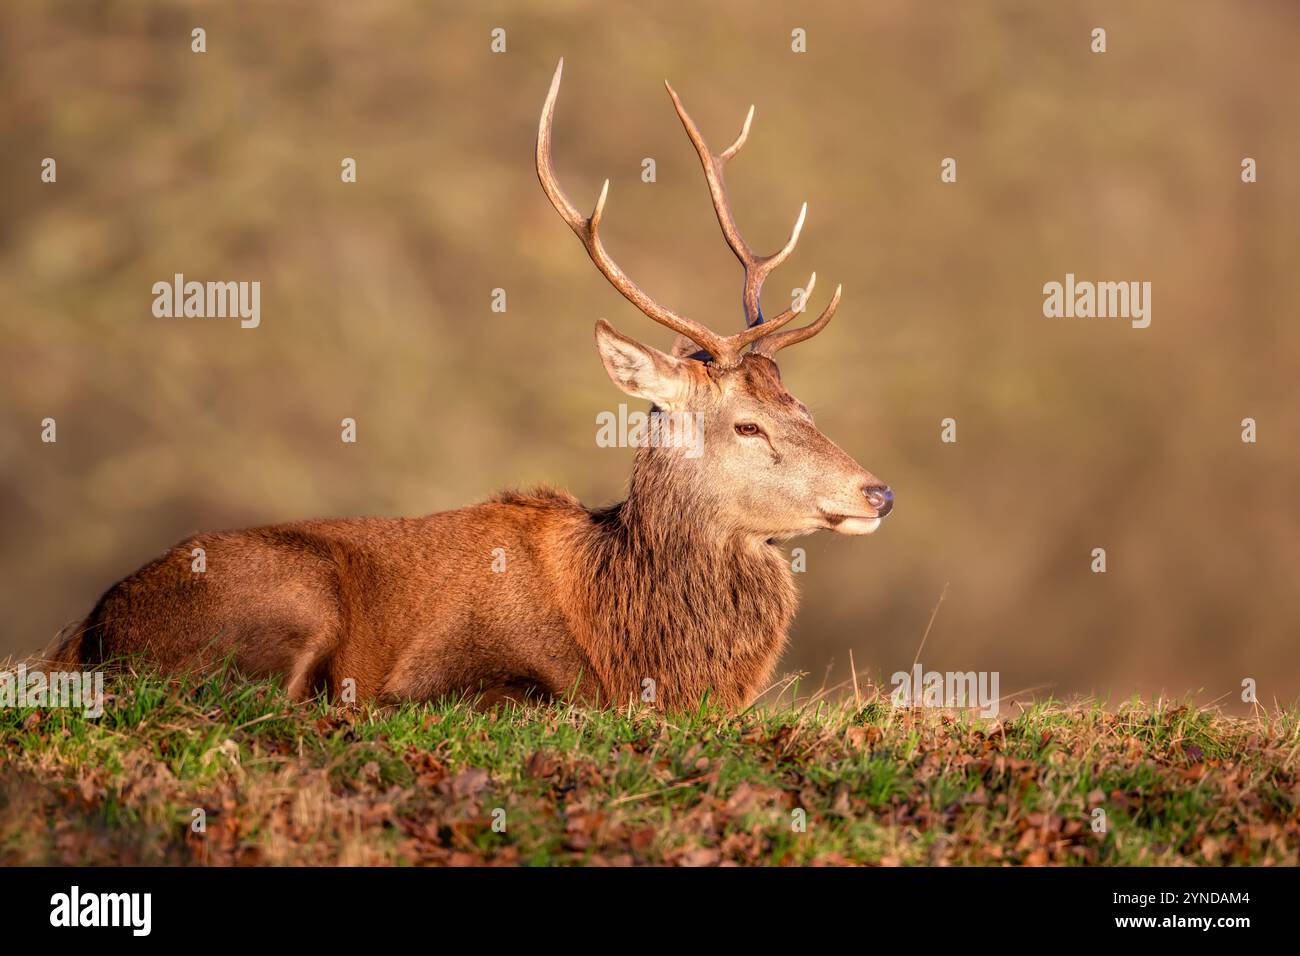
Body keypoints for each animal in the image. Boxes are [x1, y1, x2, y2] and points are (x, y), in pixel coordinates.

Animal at [47, 60, 893, 711]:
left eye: (802, 406)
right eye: (748, 424)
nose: (877, 492)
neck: (633, 645)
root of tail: (84, 635)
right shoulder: (464, 668)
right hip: (289, 597)